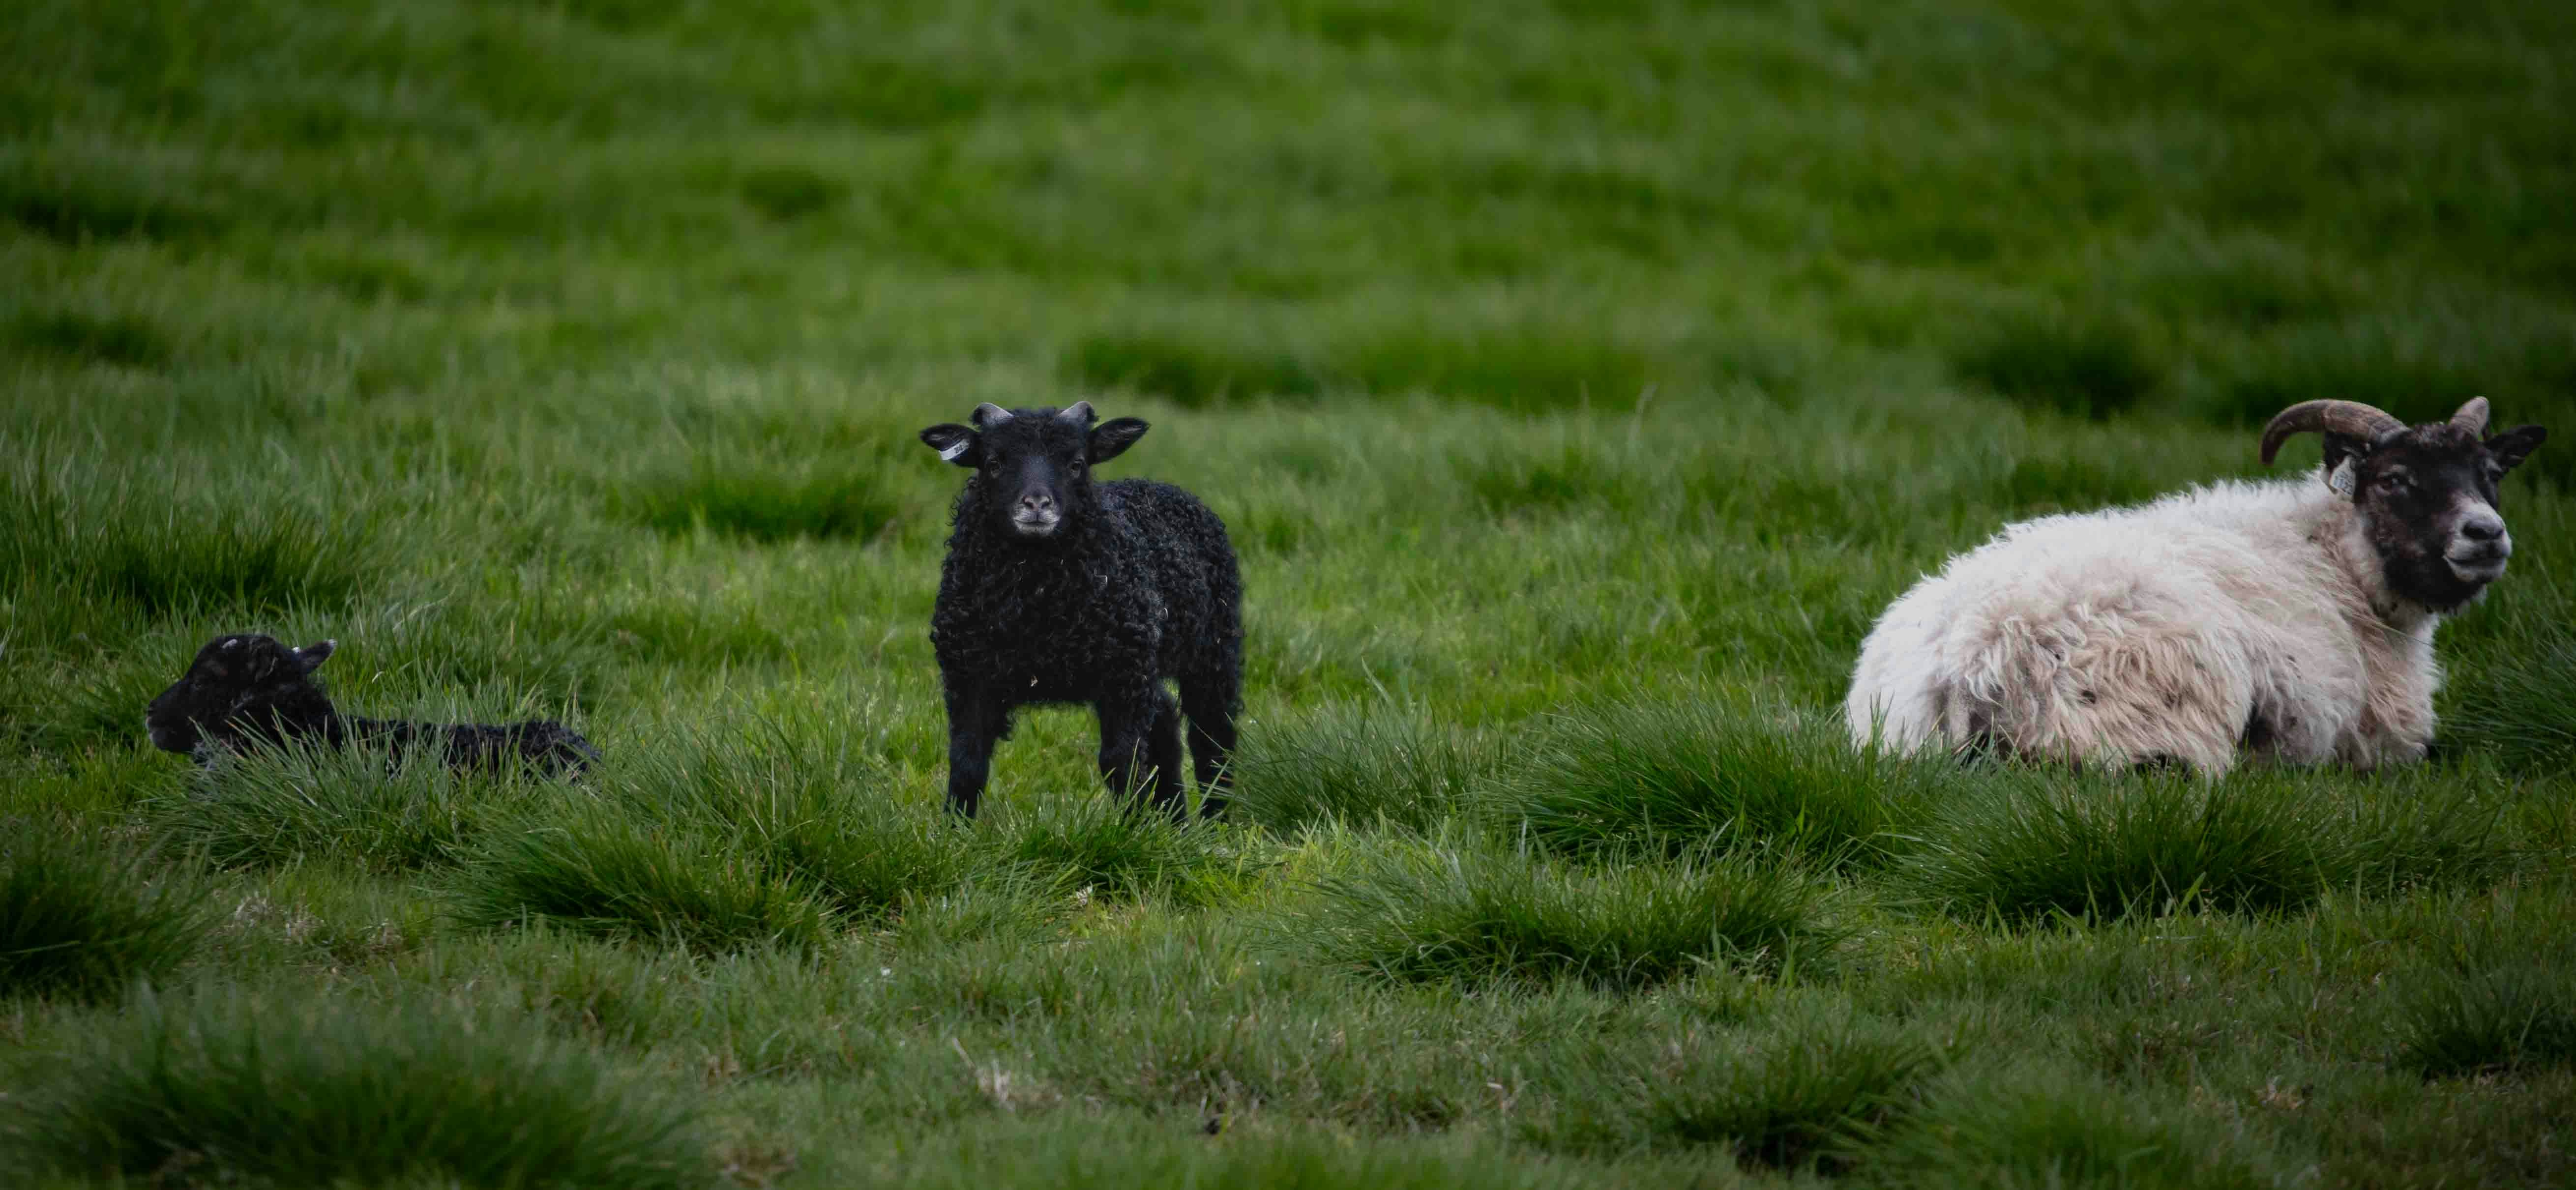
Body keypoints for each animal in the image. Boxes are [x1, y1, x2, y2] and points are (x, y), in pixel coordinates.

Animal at [918, 401, 1243, 819]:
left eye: (1076, 464)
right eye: (994, 463)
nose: (1036, 505)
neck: (1038, 610)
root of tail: (1160, 486)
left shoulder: (1122, 678)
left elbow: (1120, 762)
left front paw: (1132, 828)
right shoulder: (968, 676)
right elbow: (967, 764)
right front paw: (955, 827)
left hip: (1212, 650)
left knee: (1213, 738)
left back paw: (1215, 820)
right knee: (1167, 725)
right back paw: (1177, 820)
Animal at [1845, 397, 2548, 774]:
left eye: (2489, 474)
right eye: (2394, 480)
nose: (2486, 534)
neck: (2338, 564)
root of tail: (1964, 672)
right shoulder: (2378, 741)